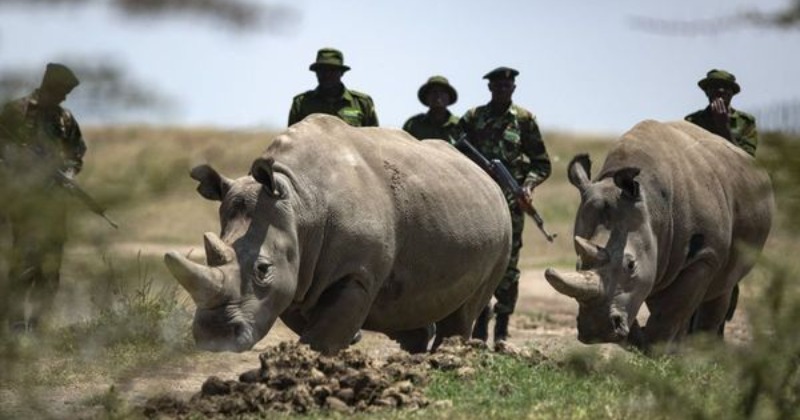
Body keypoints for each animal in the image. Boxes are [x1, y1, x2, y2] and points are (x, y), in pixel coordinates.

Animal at [164, 114, 512, 354]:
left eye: (263, 269)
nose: (214, 339)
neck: (299, 201)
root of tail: (489, 178)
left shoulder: (356, 273)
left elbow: (321, 335)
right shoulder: (300, 273)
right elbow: (313, 324)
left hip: (503, 230)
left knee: (466, 310)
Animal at [545, 120, 773, 349]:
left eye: (631, 265)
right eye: (577, 264)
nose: (596, 332)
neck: (651, 204)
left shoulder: (704, 256)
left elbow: (671, 310)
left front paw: (656, 350)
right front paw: (639, 342)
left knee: (722, 288)